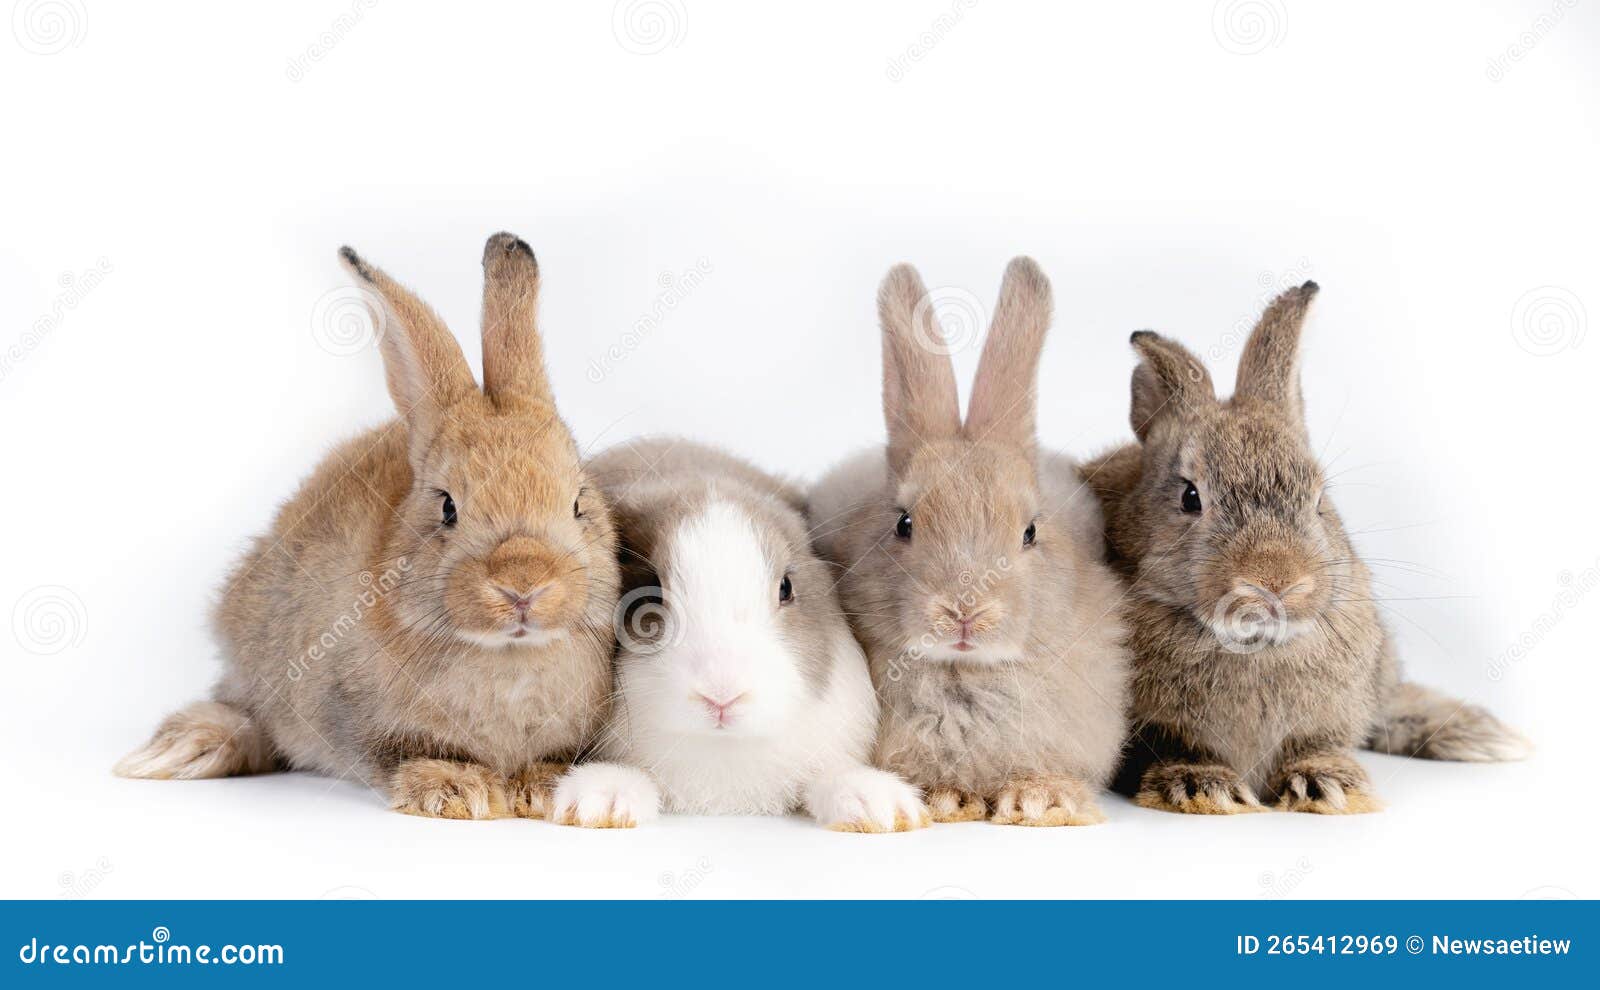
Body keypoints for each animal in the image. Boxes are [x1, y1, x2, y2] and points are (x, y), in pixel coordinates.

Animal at [114, 233, 622, 820]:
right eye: (447, 507)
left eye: (578, 503)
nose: (523, 585)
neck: (509, 654)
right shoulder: (355, 720)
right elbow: (404, 754)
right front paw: (456, 791)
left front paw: (541, 787)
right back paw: (181, 749)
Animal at [807, 259, 1132, 827]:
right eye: (904, 524)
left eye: (1030, 531)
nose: (965, 612)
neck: (964, 672)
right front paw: (947, 799)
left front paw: (1039, 801)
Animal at [1085, 280, 1532, 815]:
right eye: (1190, 498)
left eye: (1319, 499)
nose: (1276, 582)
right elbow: (1173, 752)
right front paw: (1205, 787)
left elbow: (1316, 747)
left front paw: (1329, 784)